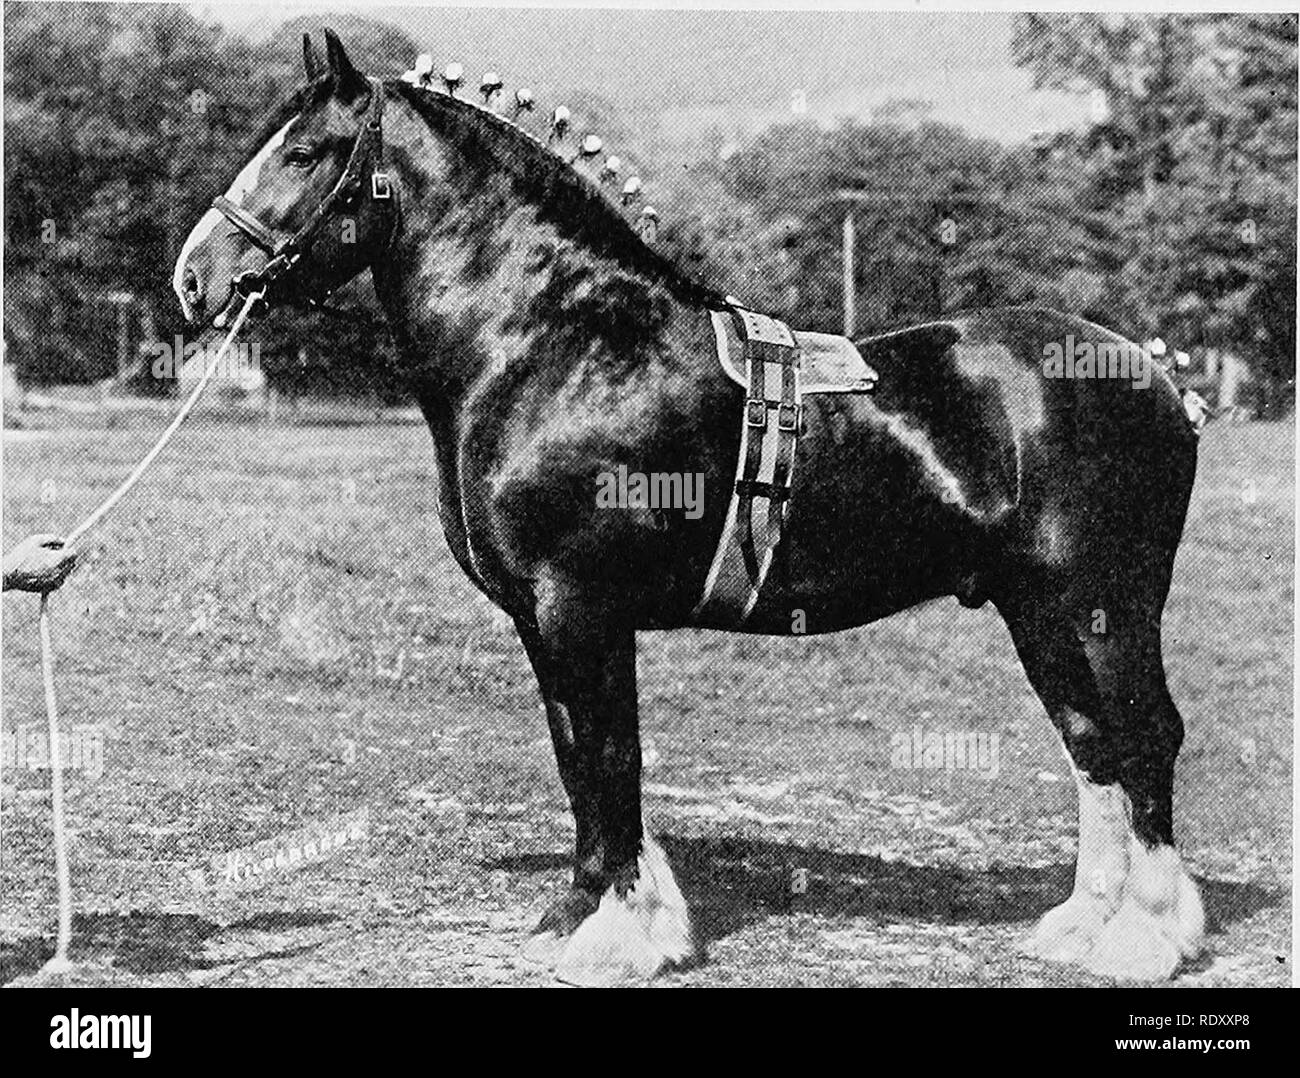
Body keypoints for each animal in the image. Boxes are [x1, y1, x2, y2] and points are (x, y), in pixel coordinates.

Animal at [172, 30, 1206, 986]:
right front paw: (578, 915)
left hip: (1104, 607)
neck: (559, 346)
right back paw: (1083, 925)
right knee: (1093, 746)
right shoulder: (542, 621)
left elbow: (612, 758)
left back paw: (1148, 936)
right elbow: (577, 759)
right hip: (1039, 611)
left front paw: (621, 937)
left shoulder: (582, 609)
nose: (194, 278)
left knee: (1146, 738)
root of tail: (1162, 381)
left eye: (306, 153)